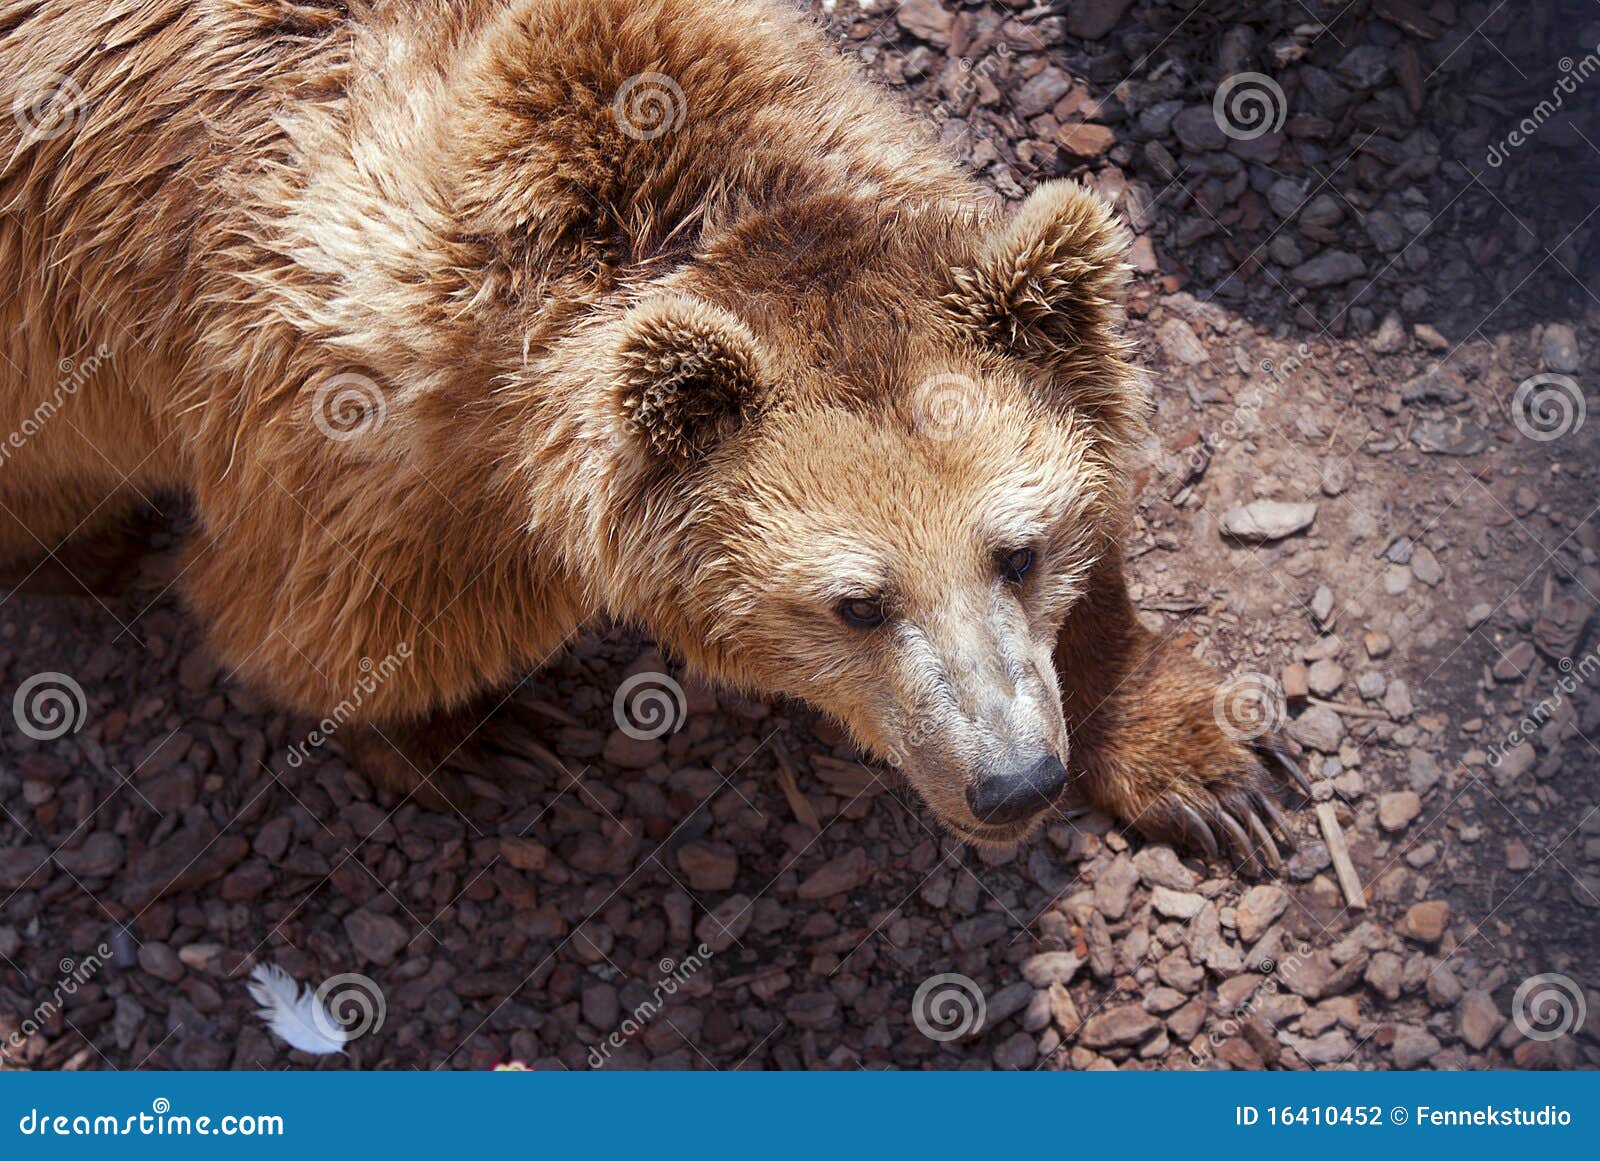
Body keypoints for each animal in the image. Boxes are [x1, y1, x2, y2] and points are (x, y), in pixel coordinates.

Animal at [0, 0, 1302, 867]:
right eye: (856, 602)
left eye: (1016, 552)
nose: (1013, 783)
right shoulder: (359, 413)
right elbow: (322, 615)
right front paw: (467, 737)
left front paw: (1207, 763)